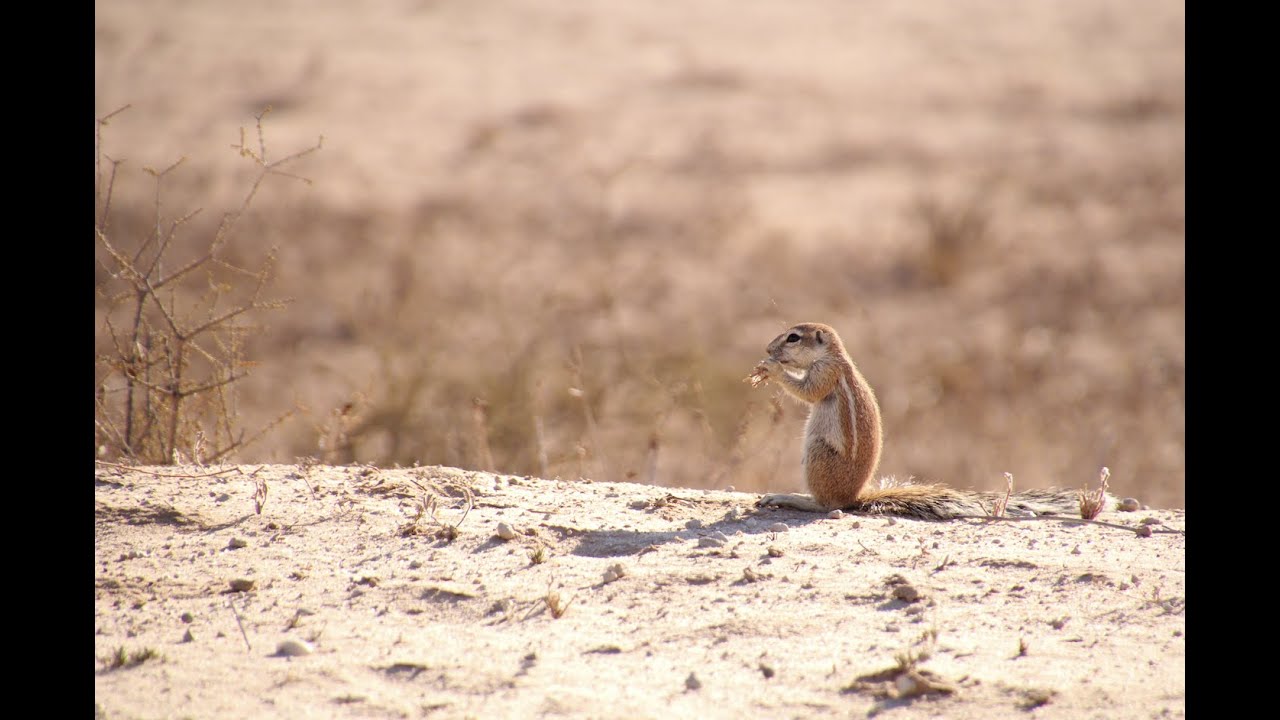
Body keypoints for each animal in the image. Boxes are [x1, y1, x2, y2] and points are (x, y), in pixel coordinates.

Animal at [746, 322, 1121, 521]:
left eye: (793, 337)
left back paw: (791, 497)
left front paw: (772, 369)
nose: (767, 347)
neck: (835, 355)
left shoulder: (826, 373)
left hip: (818, 454)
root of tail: (855, 496)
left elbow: (808, 391)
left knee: (827, 505)